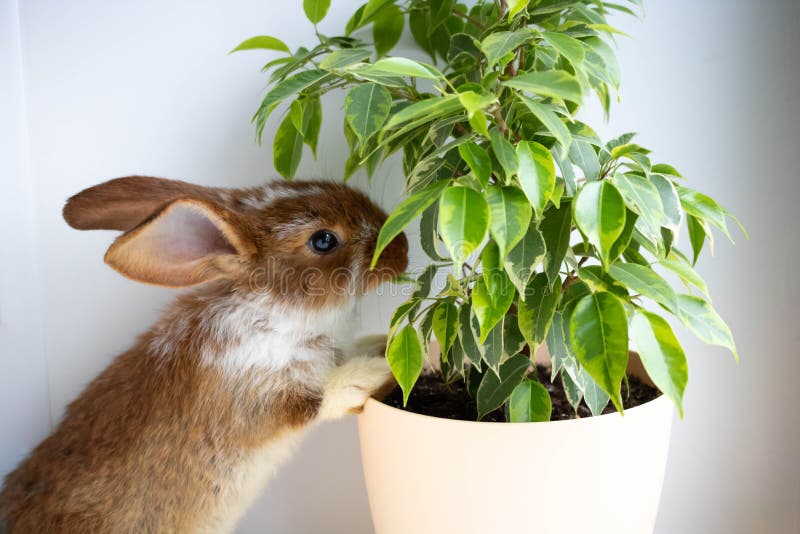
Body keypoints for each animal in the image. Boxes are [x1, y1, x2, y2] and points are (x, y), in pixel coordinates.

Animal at [0, 176, 408, 533]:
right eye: (323, 240)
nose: (402, 248)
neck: (274, 308)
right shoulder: (260, 394)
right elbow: (322, 397)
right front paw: (372, 373)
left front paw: (385, 344)